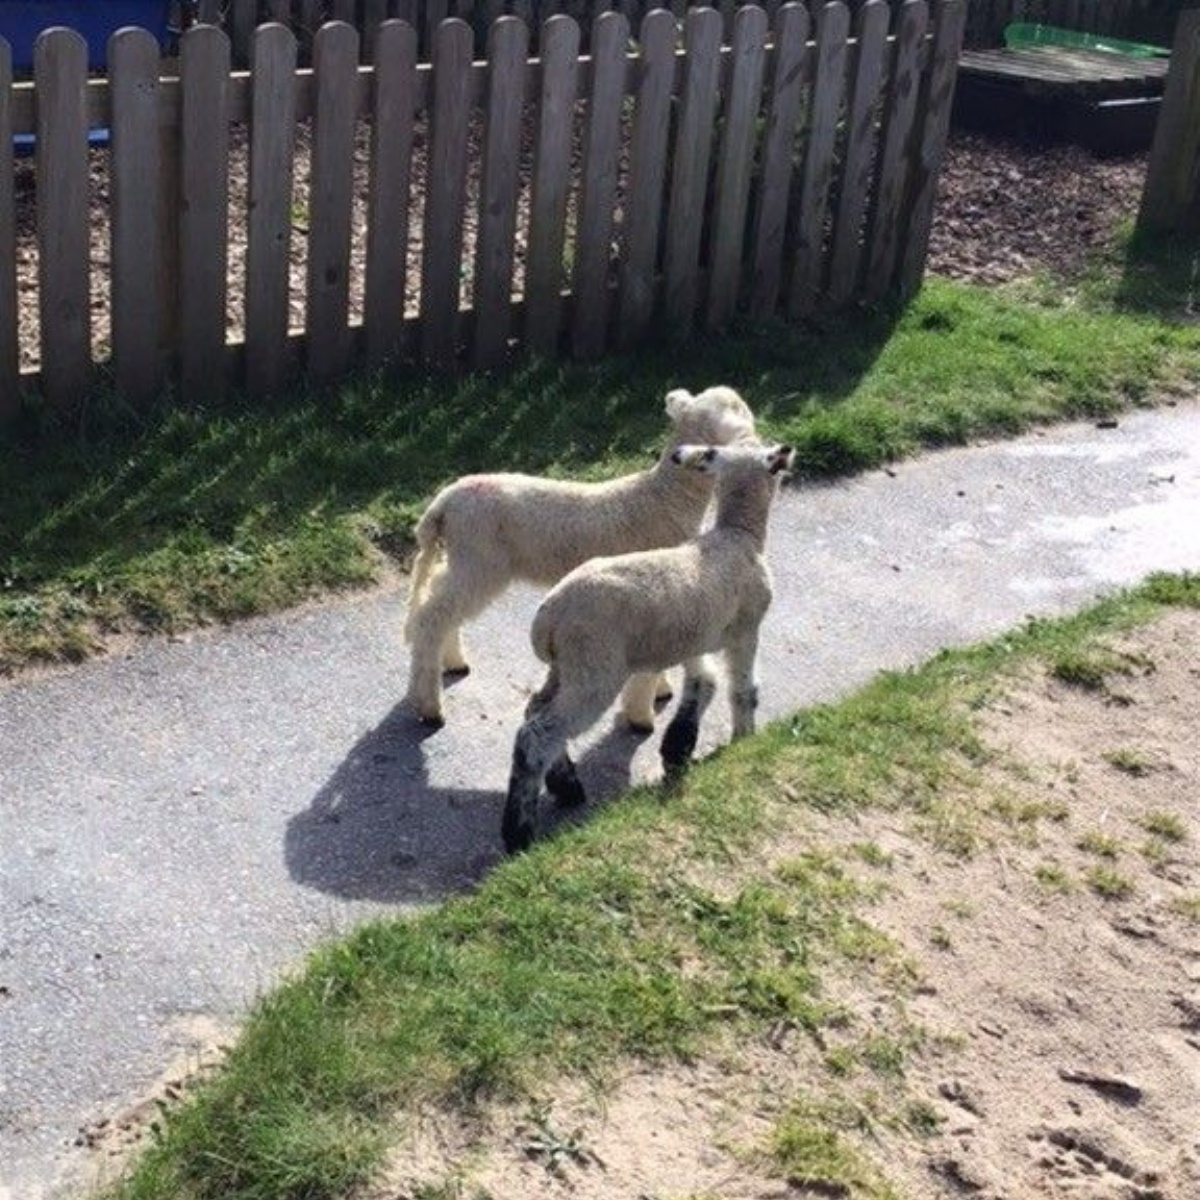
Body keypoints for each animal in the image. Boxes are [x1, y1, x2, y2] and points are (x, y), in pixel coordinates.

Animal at [403, 386, 757, 727]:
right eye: (737, 410)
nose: (755, 440)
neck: (668, 497)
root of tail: (443, 503)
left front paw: (659, 691)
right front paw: (649, 704)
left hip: (464, 555)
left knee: (440, 604)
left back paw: (453, 662)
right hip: (479, 557)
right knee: (432, 617)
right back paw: (429, 706)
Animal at [501, 439, 796, 853]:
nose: (788, 454)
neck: (738, 534)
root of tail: (548, 616)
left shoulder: (695, 631)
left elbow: (702, 682)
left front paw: (679, 745)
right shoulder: (746, 628)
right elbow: (743, 689)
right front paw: (744, 740)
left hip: (567, 666)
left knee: (535, 710)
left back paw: (566, 785)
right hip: (596, 665)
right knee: (538, 733)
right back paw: (519, 832)